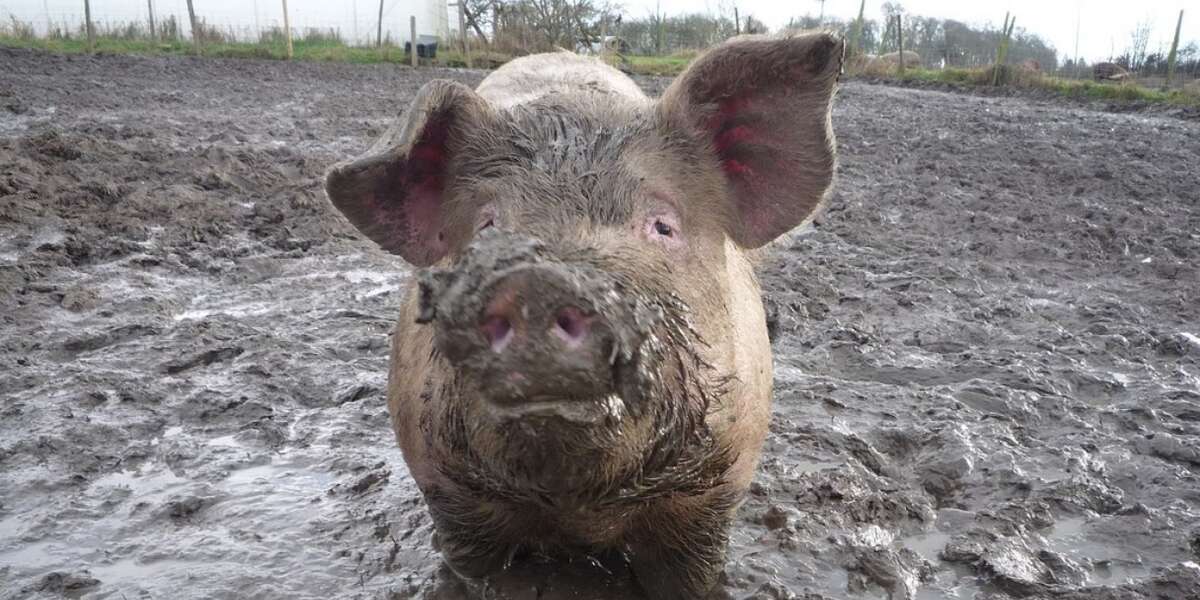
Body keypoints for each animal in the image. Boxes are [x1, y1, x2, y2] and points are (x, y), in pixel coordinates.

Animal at [324, 32, 844, 599]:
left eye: (662, 224)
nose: (540, 281)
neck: (579, 508)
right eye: (486, 225)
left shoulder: (713, 496)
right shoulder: (450, 495)